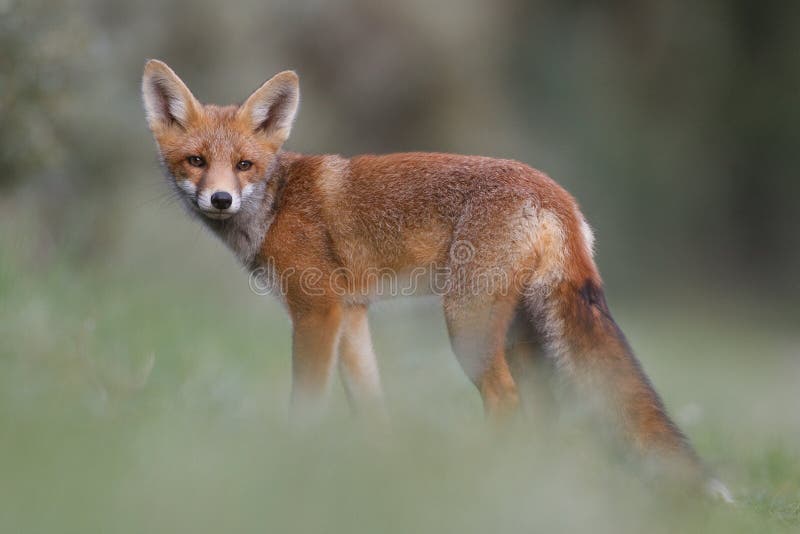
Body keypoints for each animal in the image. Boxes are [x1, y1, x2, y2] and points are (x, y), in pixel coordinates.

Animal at [141, 59, 732, 502]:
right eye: (196, 161)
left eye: (243, 164)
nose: (221, 199)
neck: (278, 202)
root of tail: (557, 194)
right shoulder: (352, 314)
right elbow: (371, 405)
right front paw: (378, 473)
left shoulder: (318, 311)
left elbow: (306, 402)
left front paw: (292, 467)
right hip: (517, 336)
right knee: (544, 410)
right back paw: (531, 485)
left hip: (467, 327)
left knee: (506, 402)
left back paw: (488, 482)